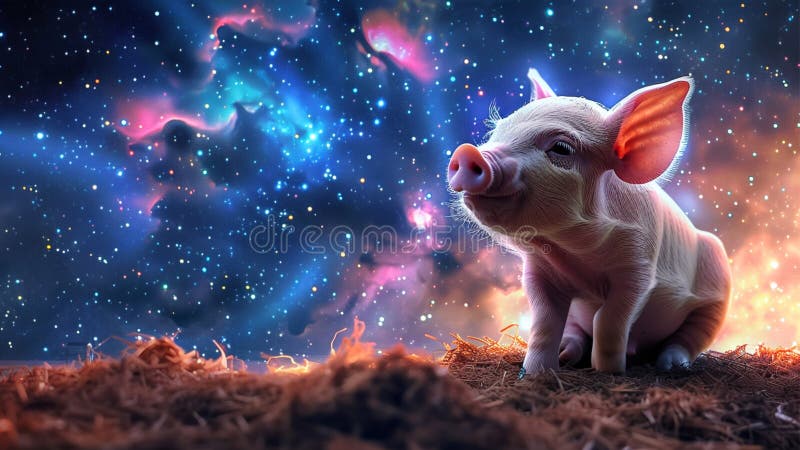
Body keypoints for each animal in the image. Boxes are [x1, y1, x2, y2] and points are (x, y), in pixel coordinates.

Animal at [447, 69, 731, 375]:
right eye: (495, 133)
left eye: (561, 147)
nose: (467, 152)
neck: (576, 255)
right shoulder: (537, 272)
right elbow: (544, 323)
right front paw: (534, 374)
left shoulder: (639, 266)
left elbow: (609, 320)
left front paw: (609, 372)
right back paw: (565, 353)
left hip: (717, 284)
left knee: (692, 335)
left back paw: (671, 365)